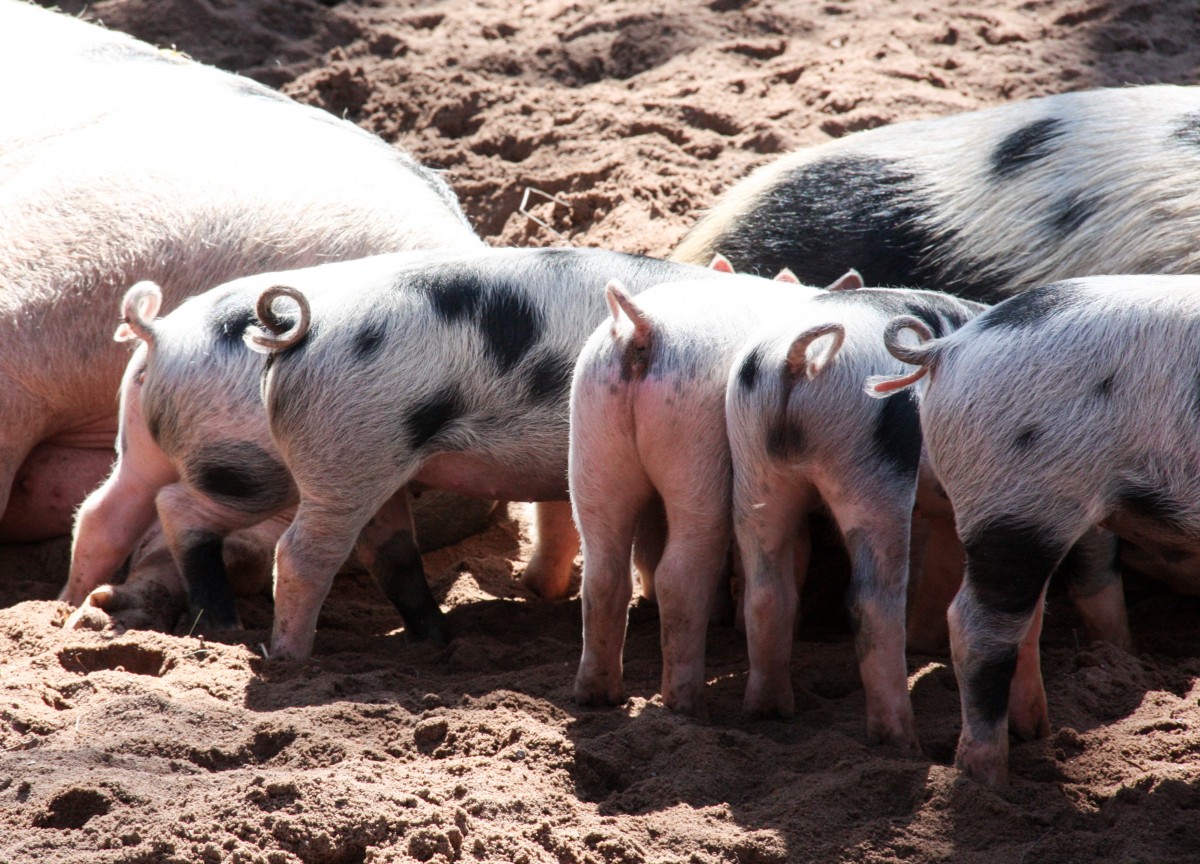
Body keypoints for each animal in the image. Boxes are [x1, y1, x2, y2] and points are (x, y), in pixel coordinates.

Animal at [246, 247, 728, 659]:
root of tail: (298, 334)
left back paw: (441, 641)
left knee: (390, 553)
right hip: (348, 455)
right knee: (300, 555)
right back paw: (292, 660)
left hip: (372, 460)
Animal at [725, 288, 986, 747]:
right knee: (873, 601)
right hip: (874, 465)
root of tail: (799, 360)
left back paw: (768, 714)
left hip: (753, 460)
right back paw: (902, 741)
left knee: (767, 591)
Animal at [869, 275, 1200, 783]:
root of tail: (951, 347)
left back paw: (1039, 736)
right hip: (1016, 502)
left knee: (1026, 619)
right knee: (977, 627)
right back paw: (987, 777)